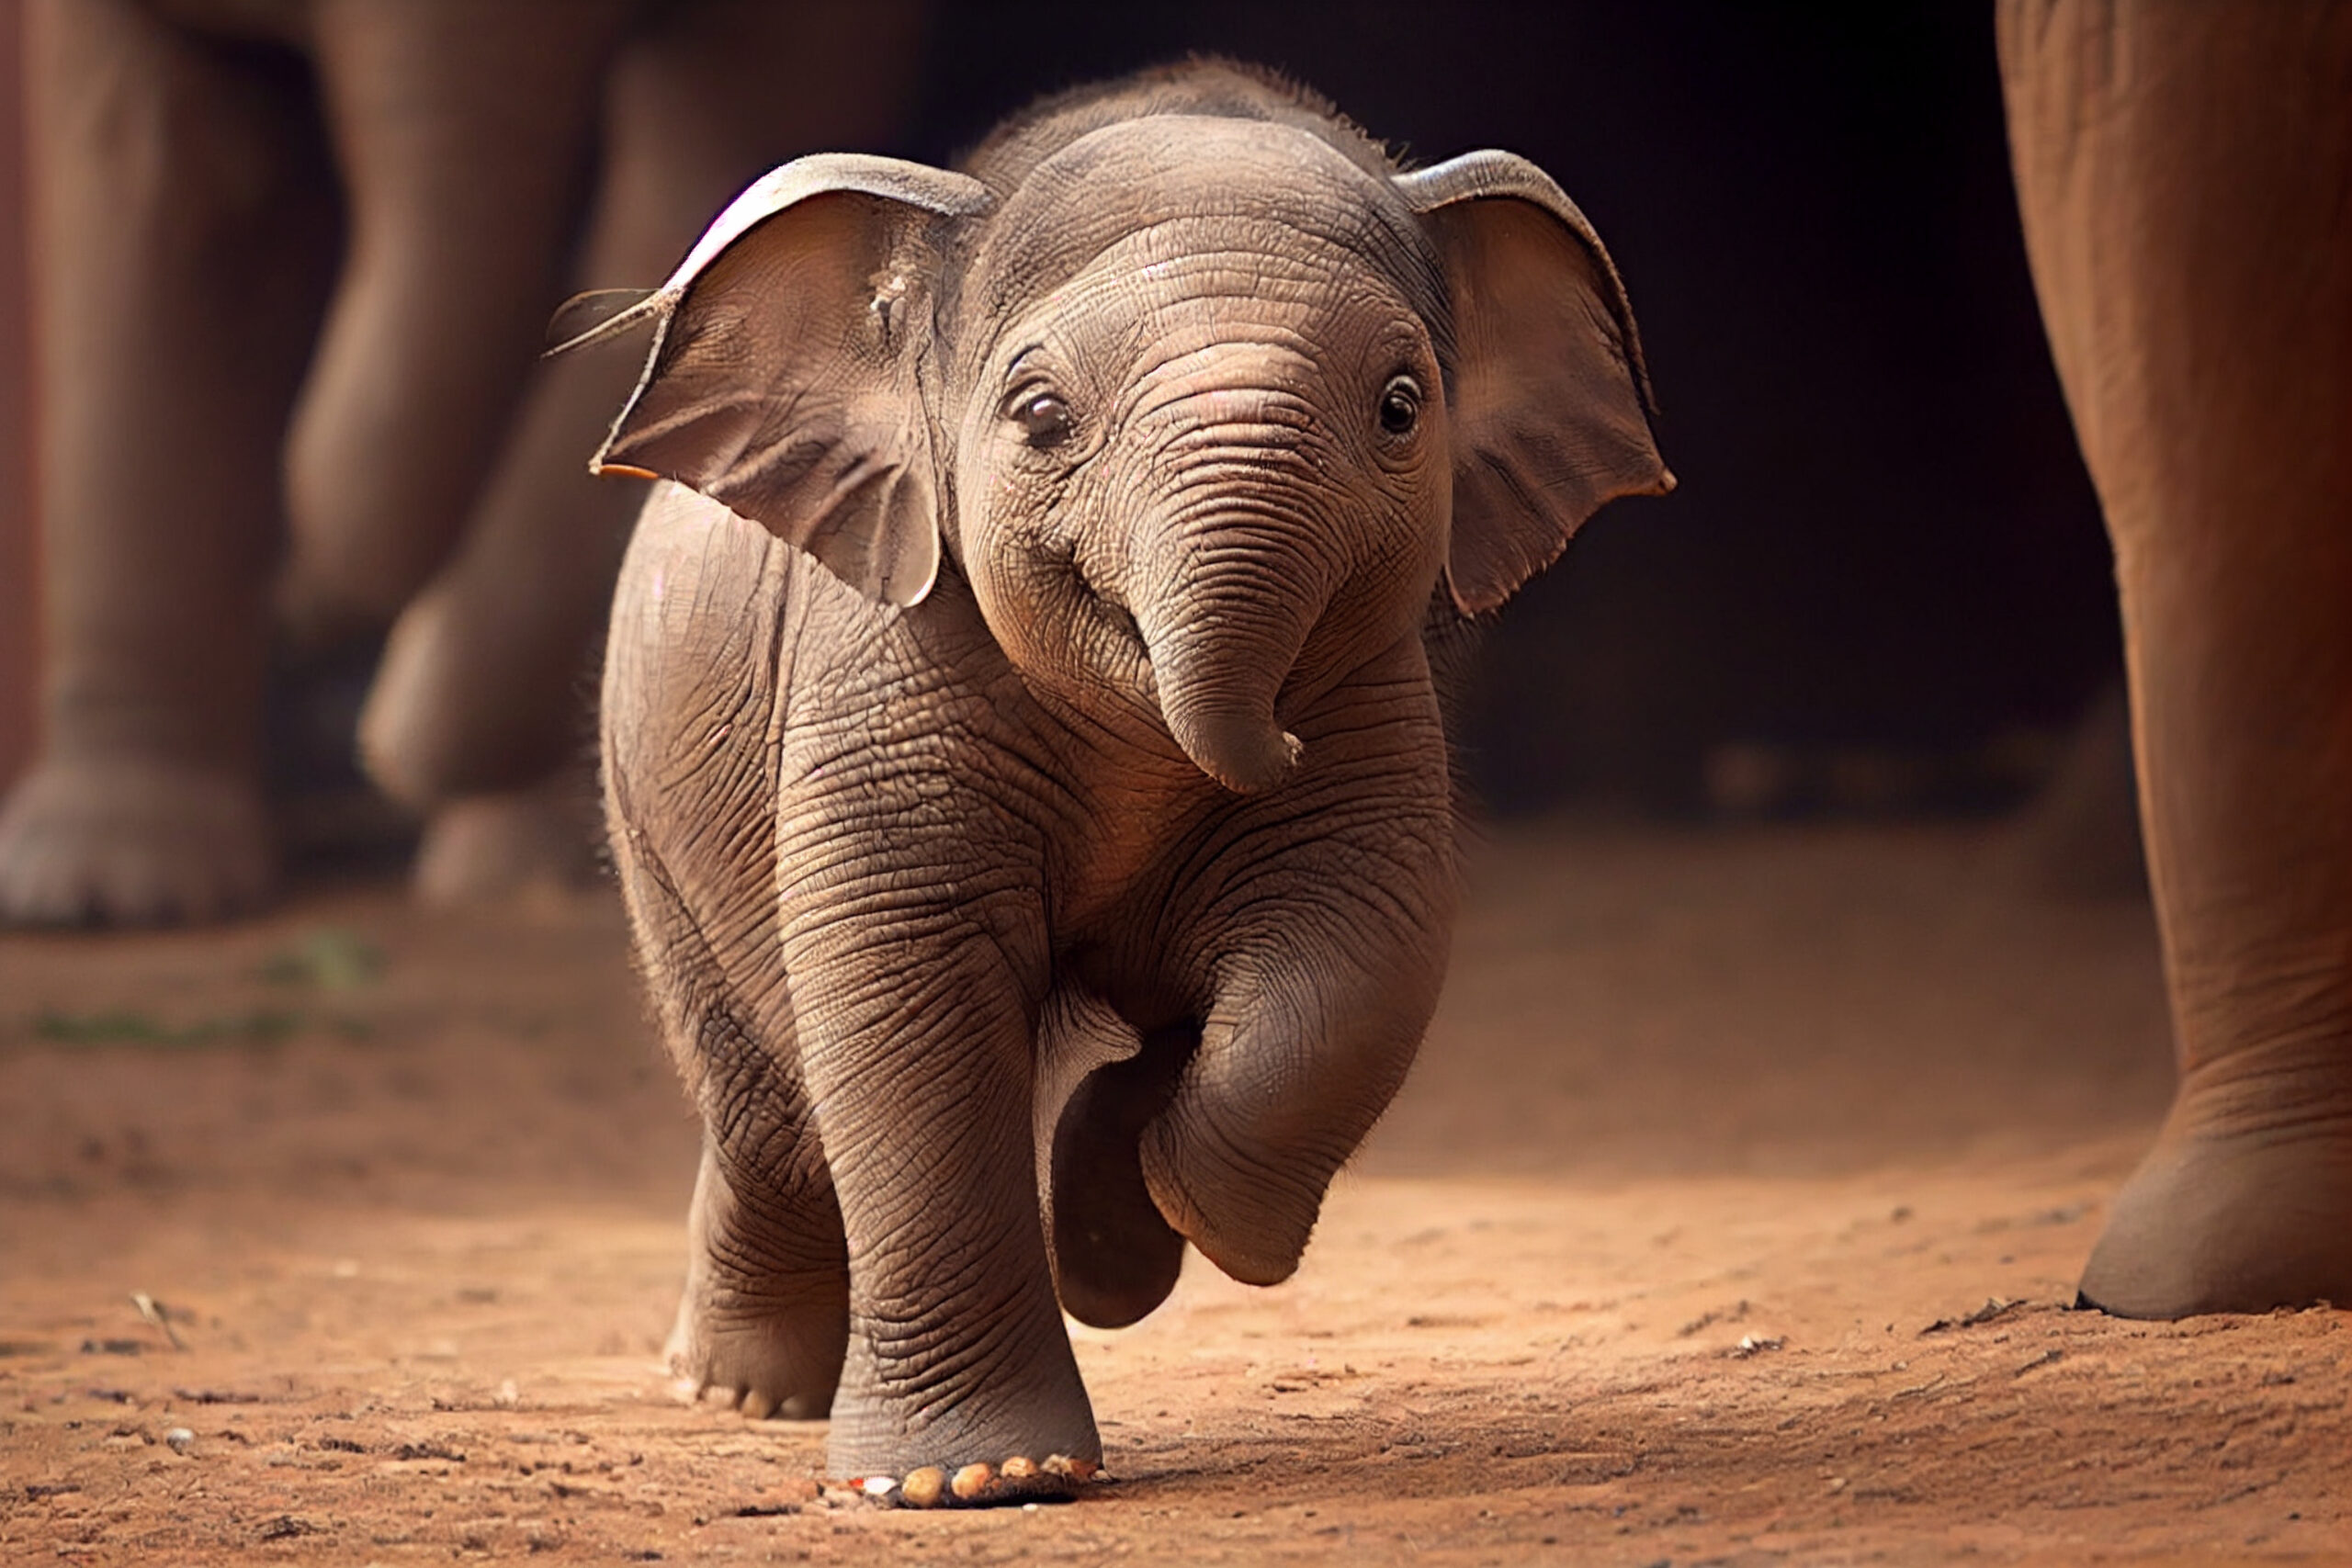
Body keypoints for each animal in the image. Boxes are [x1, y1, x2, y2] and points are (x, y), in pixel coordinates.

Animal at [581, 60, 1669, 1497]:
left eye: (1400, 406)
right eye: (1041, 415)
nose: (1276, 745)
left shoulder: (1373, 697)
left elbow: (1359, 942)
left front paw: (1157, 1213)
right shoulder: (881, 675)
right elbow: (906, 999)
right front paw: (979, 1482)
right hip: (650, 811)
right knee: (770, 1101)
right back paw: (743, 1394)